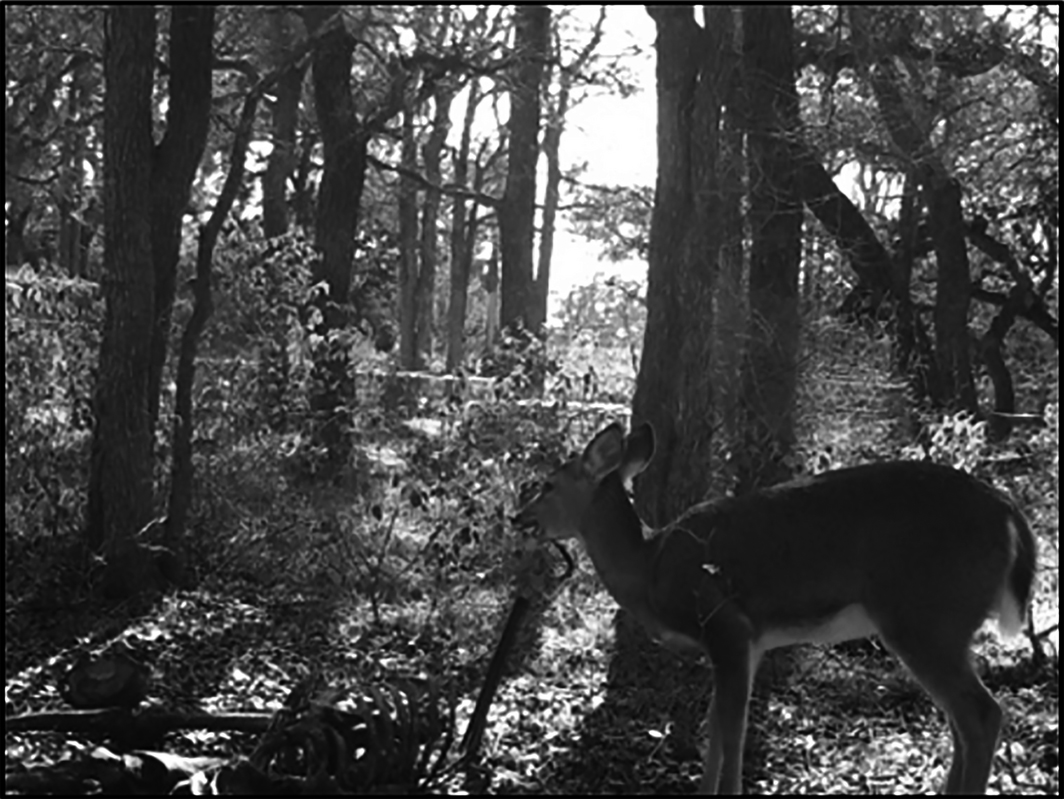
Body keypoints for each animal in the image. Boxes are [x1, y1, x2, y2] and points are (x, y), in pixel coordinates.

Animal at [515, 422, 1036, 794]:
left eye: (547, 484)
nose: (519, 519)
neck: (650, 565)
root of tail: (1009, 512)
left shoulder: (725, 622)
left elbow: (732, 727)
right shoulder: (750, 643)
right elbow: (716, 724)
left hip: (925, 616)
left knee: (982, 715)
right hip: (941, 624)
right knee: (961, 721)